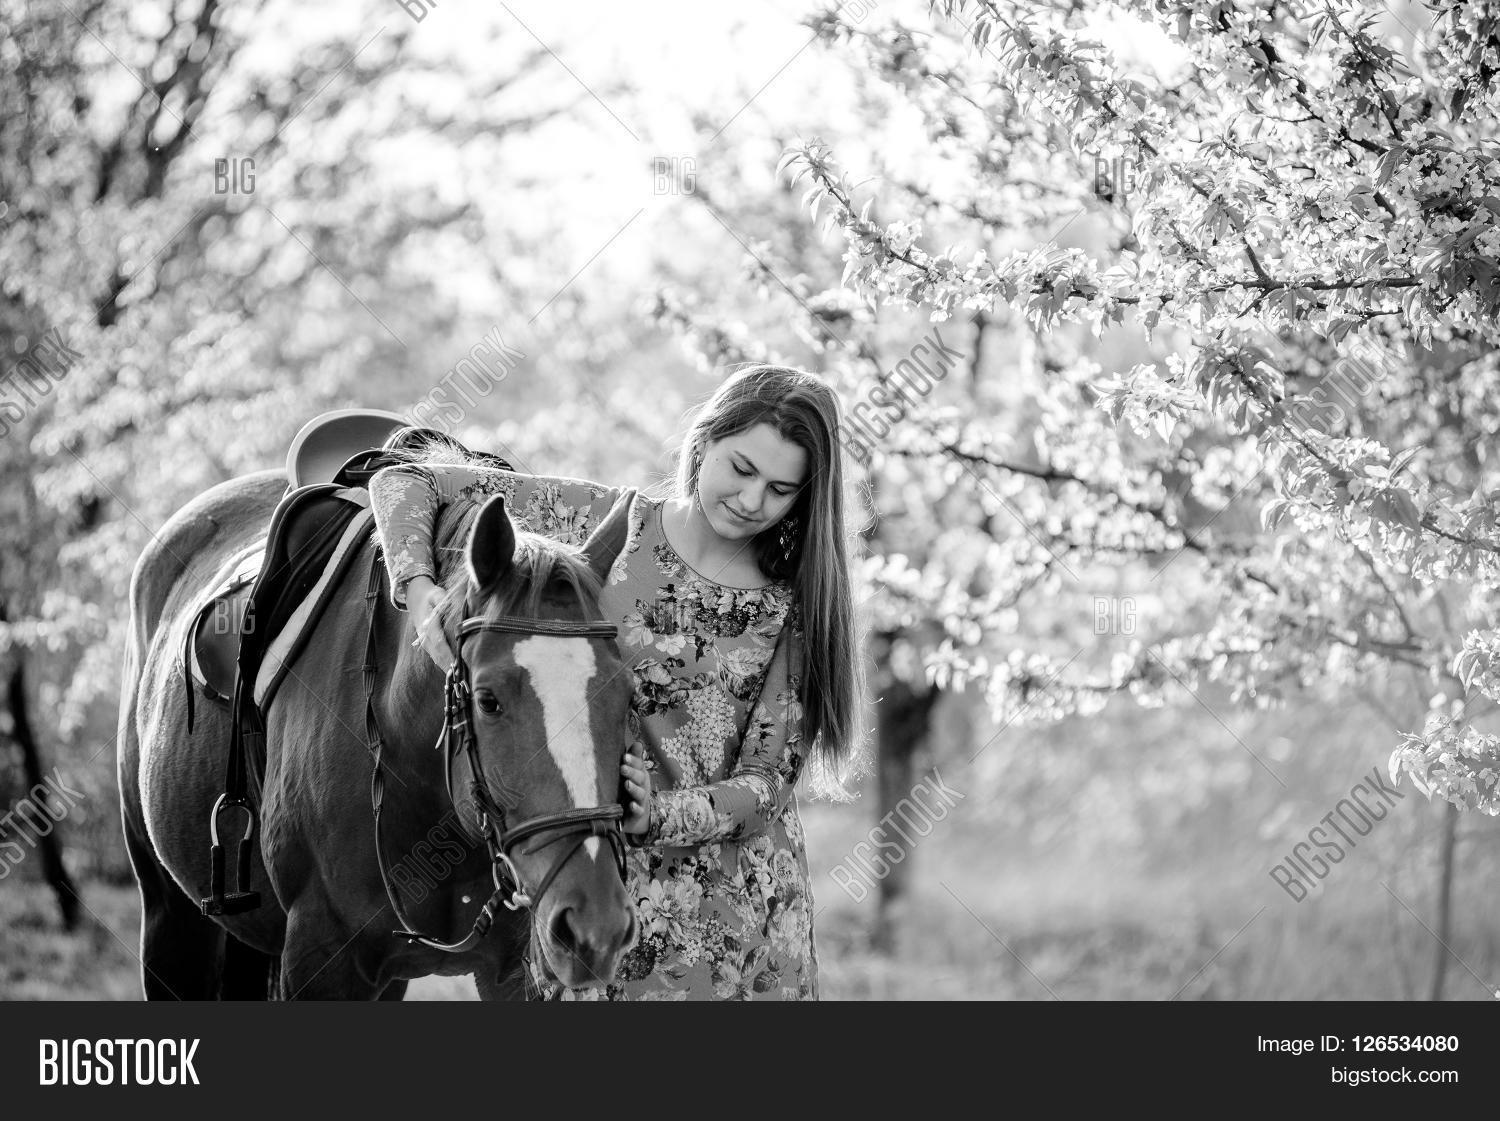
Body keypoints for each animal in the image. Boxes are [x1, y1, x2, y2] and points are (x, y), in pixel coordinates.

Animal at [118, 468, 640, 999]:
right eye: (487, 700)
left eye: (626, 697)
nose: (596, 927)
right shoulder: (318, 958)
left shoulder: (514, 971)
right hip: (173, 919)